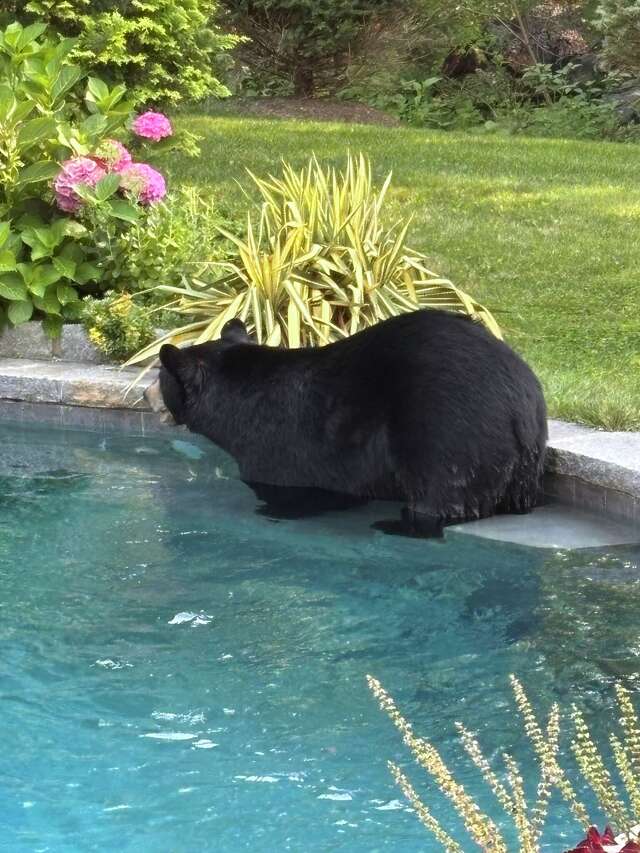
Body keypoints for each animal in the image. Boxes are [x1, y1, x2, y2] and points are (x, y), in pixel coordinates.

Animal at [149, 309, 547, 538]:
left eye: (161, 378)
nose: (148, 397)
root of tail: (519, 407)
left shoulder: (276, 449)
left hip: (449, 433)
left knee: (439, 493)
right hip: (524, 464)